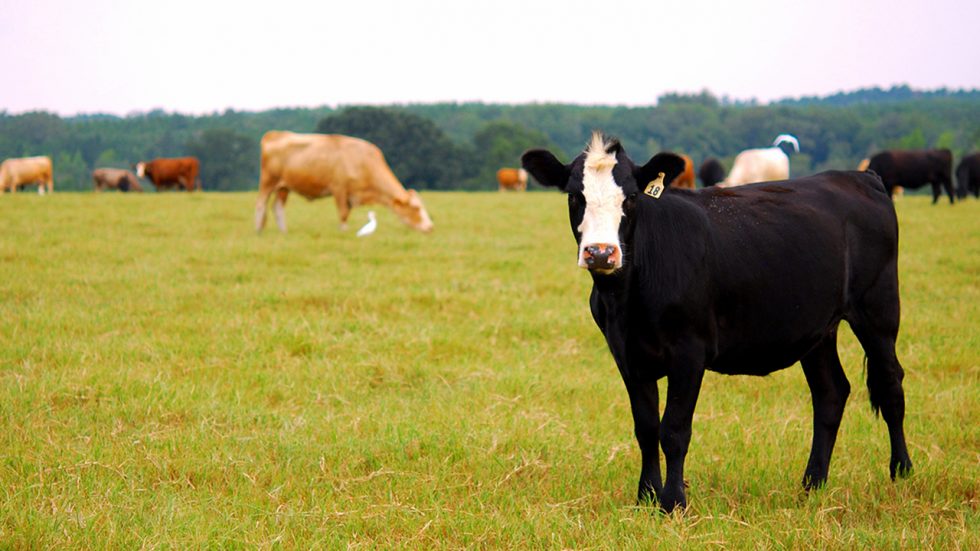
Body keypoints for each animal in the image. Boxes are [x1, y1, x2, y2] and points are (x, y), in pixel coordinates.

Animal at [255, 131, 433, 233]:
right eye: (416, 208)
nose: (430, 227)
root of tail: (274, 134)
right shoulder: (339, 189)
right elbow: (343, 212)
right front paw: (344, 230)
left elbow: (346, 212)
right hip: (268, 182)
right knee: (261, 204)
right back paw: (258, 230)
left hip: (284, 187)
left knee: (277, 207)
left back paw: (283, 232)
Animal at [522, 132, 912, 512]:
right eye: (575, 196)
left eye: (631, 197)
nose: (601, 252)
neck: (627, 298)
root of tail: (859, 177)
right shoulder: (627, 355)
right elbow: (646, 428)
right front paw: (645, 496)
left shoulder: (689, 351)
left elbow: (673, 430)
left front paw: (672, 503)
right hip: (817, 328)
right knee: (831, 393)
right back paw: (812, 484)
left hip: (878, 309)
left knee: (891, 384)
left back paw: (901, 472)